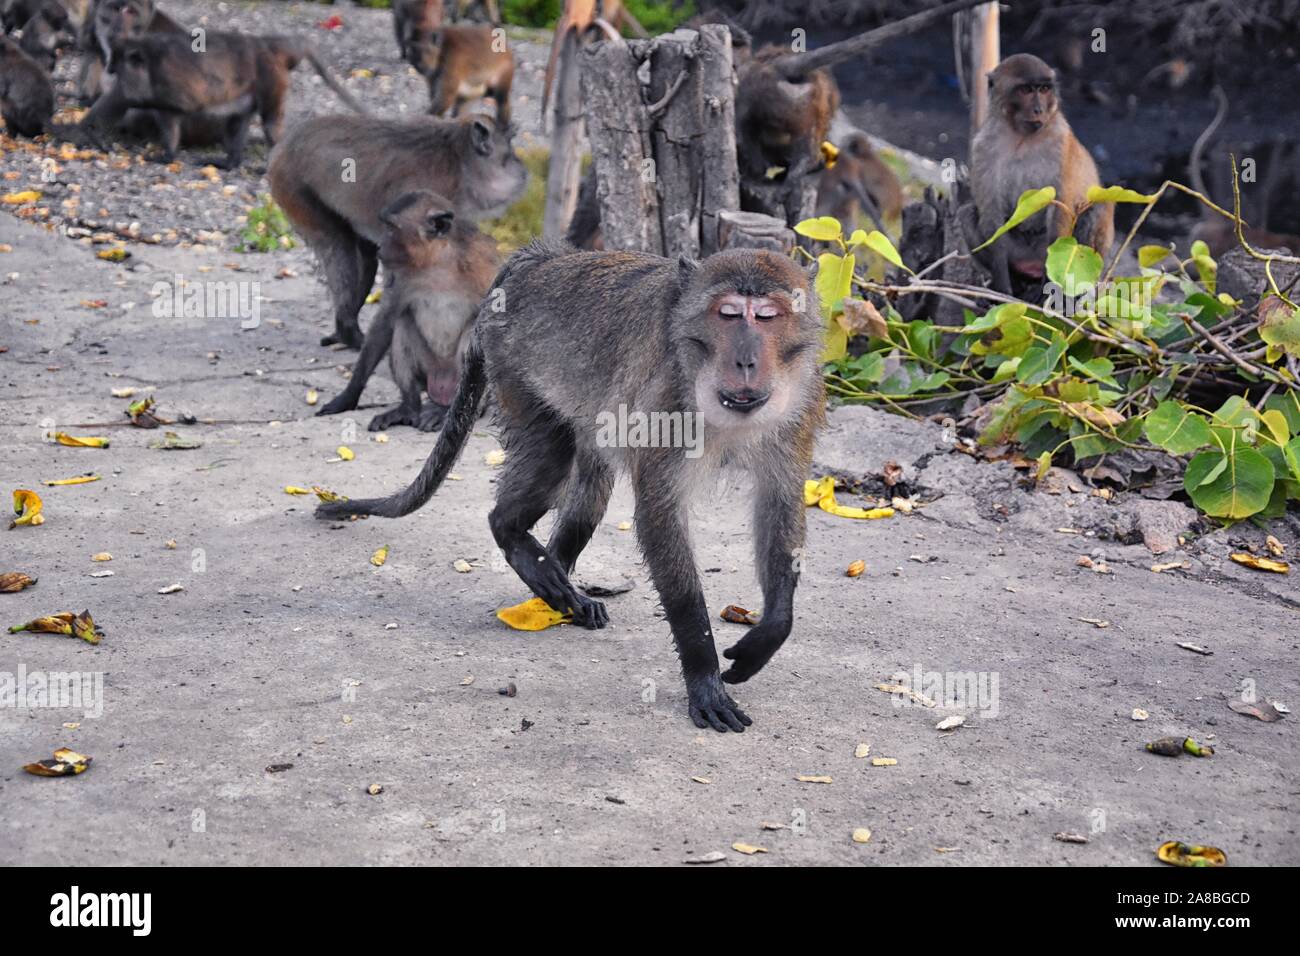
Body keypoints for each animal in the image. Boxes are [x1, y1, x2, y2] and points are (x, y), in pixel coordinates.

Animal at [107, 30, 366, 168]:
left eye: (118, 65)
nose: (109, 69)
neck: (149, 61)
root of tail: (267, 45)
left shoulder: (168, 88)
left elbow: (174, 117)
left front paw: (168, 154)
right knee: (236, 121)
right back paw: (231, 162)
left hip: (270, 78)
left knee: (270, 124)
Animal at [268, 112, 526, 349]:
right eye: (508, 144)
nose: (521, 165)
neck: (461, 162)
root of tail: (282, 148)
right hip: (293, 188)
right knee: (338, 245)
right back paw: (348, 329)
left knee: (365, 254)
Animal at [316, 191, 500, 432]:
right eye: (385, 226)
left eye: (392, 228)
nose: (380, 246)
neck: (439, 262)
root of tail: (440, 385)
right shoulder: (401, 275)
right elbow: (386, 320)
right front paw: (348, 396)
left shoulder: (484, 265)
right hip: (429, 372)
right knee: (403, 323)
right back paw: (409, 406)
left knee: (473, 334)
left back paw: (445, 410)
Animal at [316, 244, 825, 733]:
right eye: (729, 314)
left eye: (767, 316)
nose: (746, 361)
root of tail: (541, 260)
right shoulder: (663, 402)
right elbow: (660, 517)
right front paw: (704, 677)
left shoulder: (799, 404)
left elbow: (780, 504)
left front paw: (770, 633)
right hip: (515, 367)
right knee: (547, 458)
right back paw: (518, 542)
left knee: (589, 492)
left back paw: (555, 582)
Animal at [968, 53, 1114, 295]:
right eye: (1027, 90)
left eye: (1044, 89)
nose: (1039, 110)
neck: (1022, 138)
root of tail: (1032, 264)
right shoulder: (983, 148)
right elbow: (991, 218)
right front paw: (1003, 288)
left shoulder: (1060, 142)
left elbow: (1060, 207)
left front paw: (1052, 287)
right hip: (1018, 254)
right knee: (966, 212)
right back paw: (1019, 280)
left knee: (1098, 205)